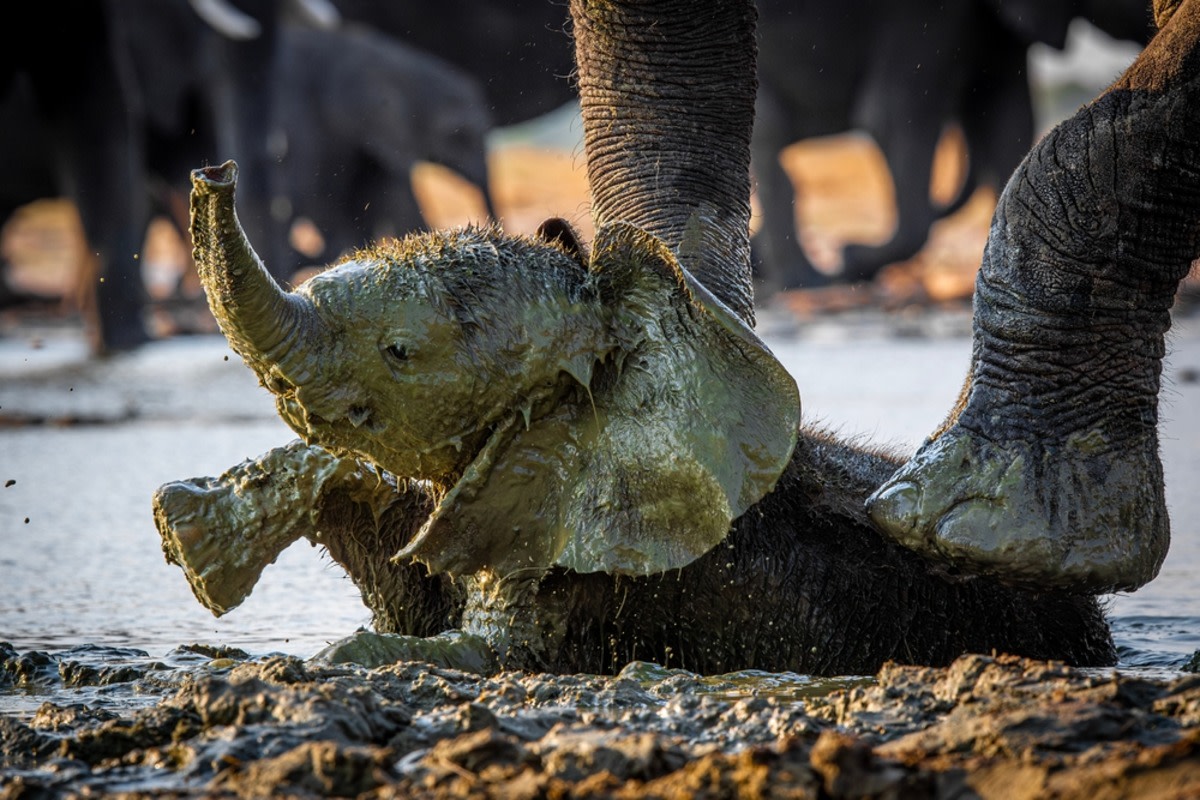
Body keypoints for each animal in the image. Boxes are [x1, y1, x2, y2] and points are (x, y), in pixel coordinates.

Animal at [751, 0, 1155, 293]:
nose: (847, 249)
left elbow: (1006, 118)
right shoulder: (925, 18)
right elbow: (894, 116)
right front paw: (851, 260)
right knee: (770, 134)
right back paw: (803, 282)